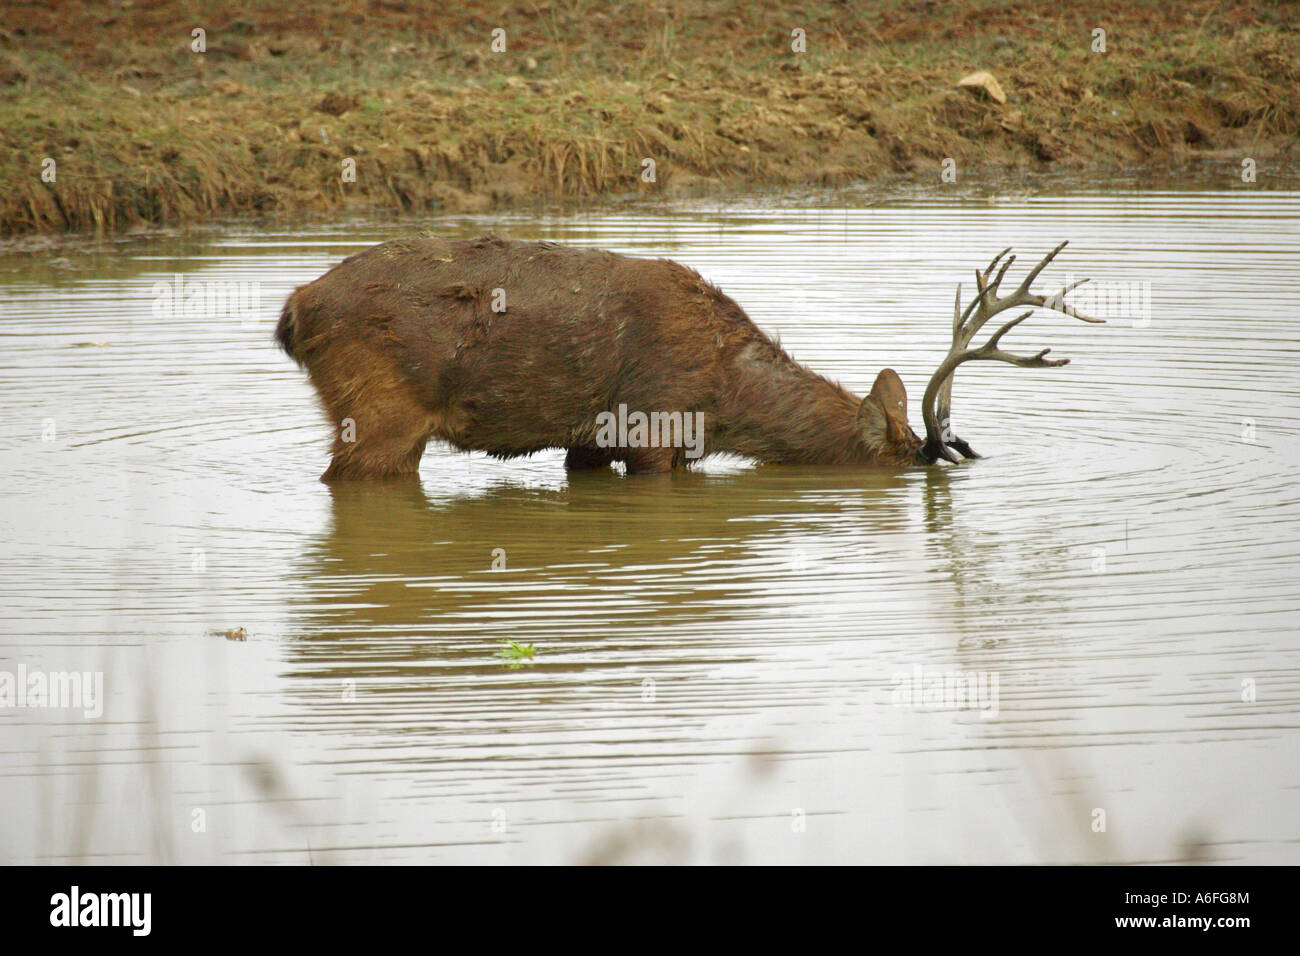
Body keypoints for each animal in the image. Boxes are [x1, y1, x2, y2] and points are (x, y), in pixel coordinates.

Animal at [275, 234, 1101, 481]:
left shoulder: (589, 439)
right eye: (909, 460)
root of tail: (294, 312)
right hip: (378, 410)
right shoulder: (652, 424)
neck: (725, 396)